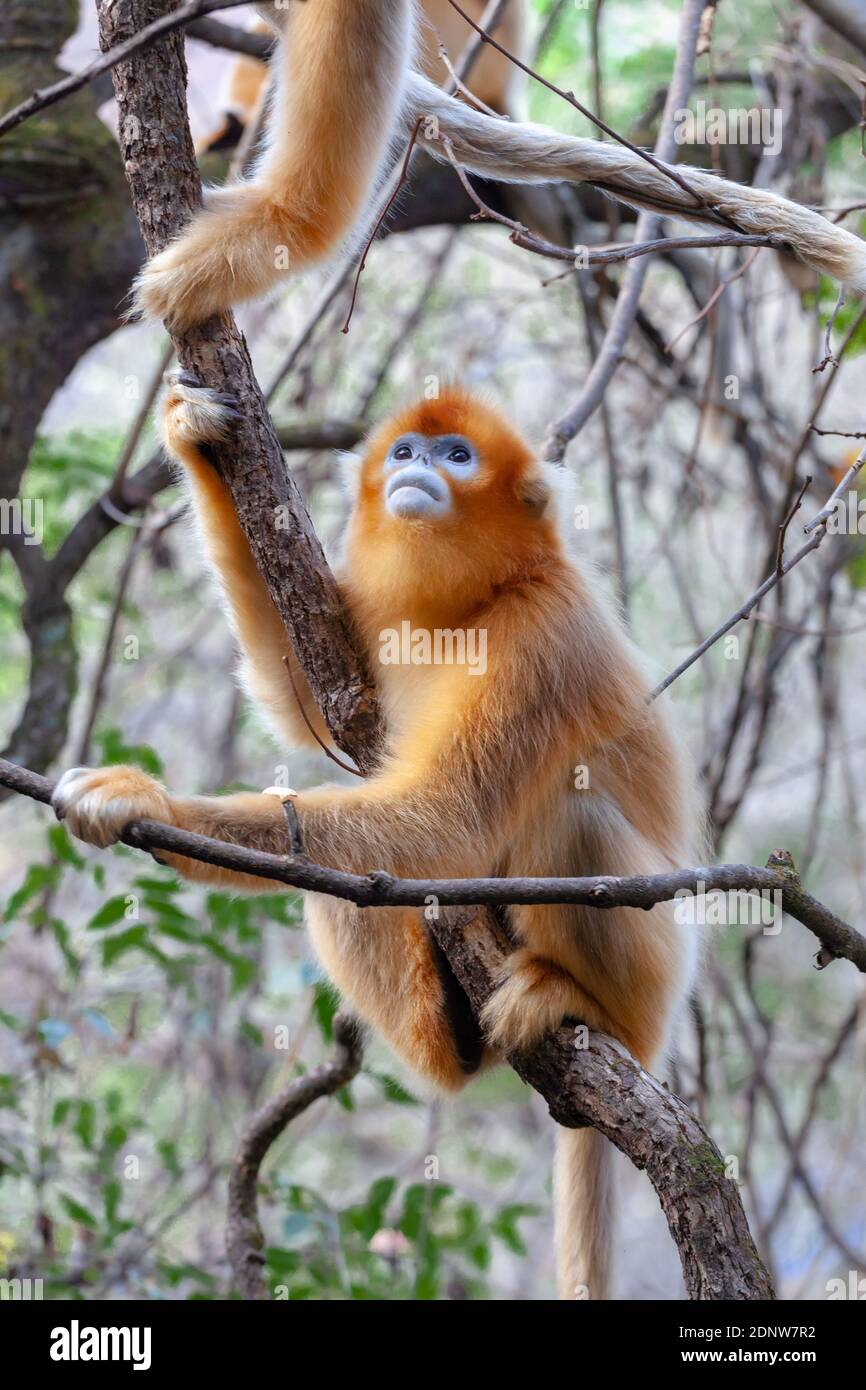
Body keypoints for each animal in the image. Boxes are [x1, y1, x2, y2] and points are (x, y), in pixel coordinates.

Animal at [53, 375, 702, 1300]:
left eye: (458, 455)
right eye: (405, 449)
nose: (418, 467)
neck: (472, 601)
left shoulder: (548, 629)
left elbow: (444, 815)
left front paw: (147, 801)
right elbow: (308, 706)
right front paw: (195, 436)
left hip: (660, 969)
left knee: (566, 817)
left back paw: (575, 1000)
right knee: (343, 894)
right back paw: (452, 1041)